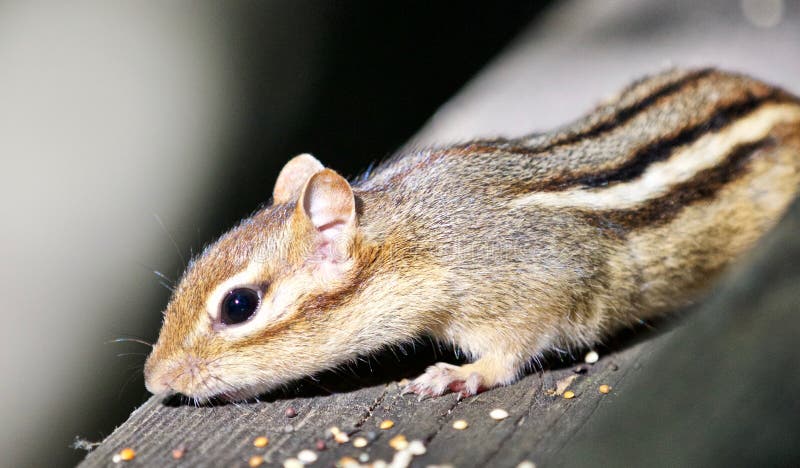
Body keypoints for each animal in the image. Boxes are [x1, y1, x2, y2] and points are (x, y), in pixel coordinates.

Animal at [144, 68, 800, 401]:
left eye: (238, 305)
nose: (155, 379)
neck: (420, 238)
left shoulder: (543, 286)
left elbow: (516, 349)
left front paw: (460, 374)